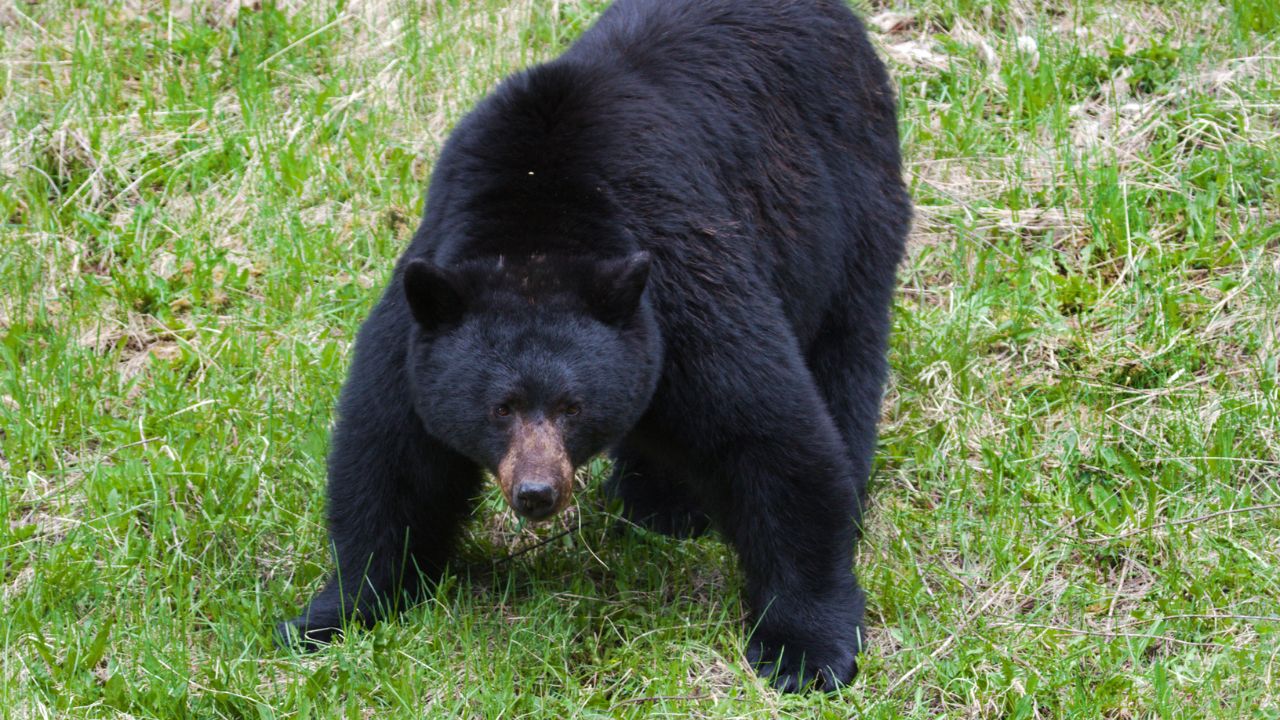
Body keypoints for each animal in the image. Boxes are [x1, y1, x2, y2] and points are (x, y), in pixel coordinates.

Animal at [277, 0, 909, 693]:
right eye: (500, 408)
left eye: (571, 406)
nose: (536, 493)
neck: (536, 225)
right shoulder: (422, 311)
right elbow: (392, 460)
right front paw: (333, 615)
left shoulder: (682, 283)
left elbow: (769, 435)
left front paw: (805, 649)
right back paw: (657, 504)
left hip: (852, 200)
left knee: (844, 350)